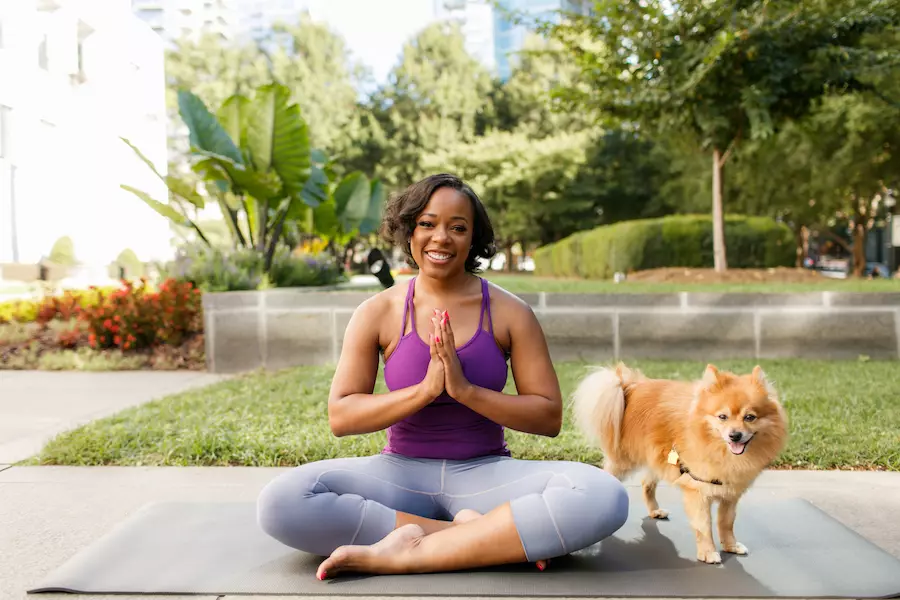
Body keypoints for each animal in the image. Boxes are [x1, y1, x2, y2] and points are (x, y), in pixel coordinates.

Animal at [572, 364, 784, 564]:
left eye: (750, 417)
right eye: (722, 417)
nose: (735, 435)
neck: (722, 452)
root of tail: (630, 386)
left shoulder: (730, 494)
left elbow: (726, 523)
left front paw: (730, 545)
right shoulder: (697, 491)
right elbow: (704, 525)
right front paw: (708, 552)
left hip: (660, 458)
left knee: (646, 484)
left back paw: (654, 510)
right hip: (624, 463)